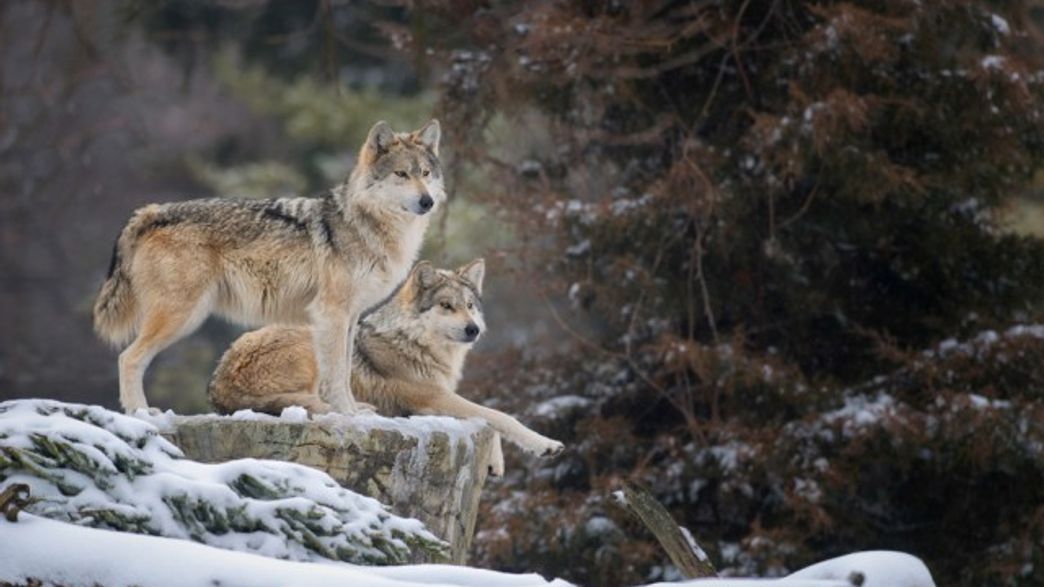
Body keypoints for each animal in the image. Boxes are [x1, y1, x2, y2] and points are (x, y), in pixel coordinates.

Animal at [94, 120, 443, 415]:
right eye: (401, 174)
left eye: (426, 173)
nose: (428, 202)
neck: (368, 226)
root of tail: (152, 211)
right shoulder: (331, 313)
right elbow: (335, 375)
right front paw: (346, 414)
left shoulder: (350, 316)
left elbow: (344, 371)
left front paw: (355, 411)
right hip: (182, 316)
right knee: (128, 358)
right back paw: (140, 412)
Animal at [207, 260, 565, 474]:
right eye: (445, 306)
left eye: (469, 306)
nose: (473, 329)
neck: (416, 343)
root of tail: (218, 384)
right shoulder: (433, 398)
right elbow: (498, 416)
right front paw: (546, 445)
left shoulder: (433, 402)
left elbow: (487, 418)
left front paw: (496, 462)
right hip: (314, 344)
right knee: (319, 405)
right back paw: (362, 410)